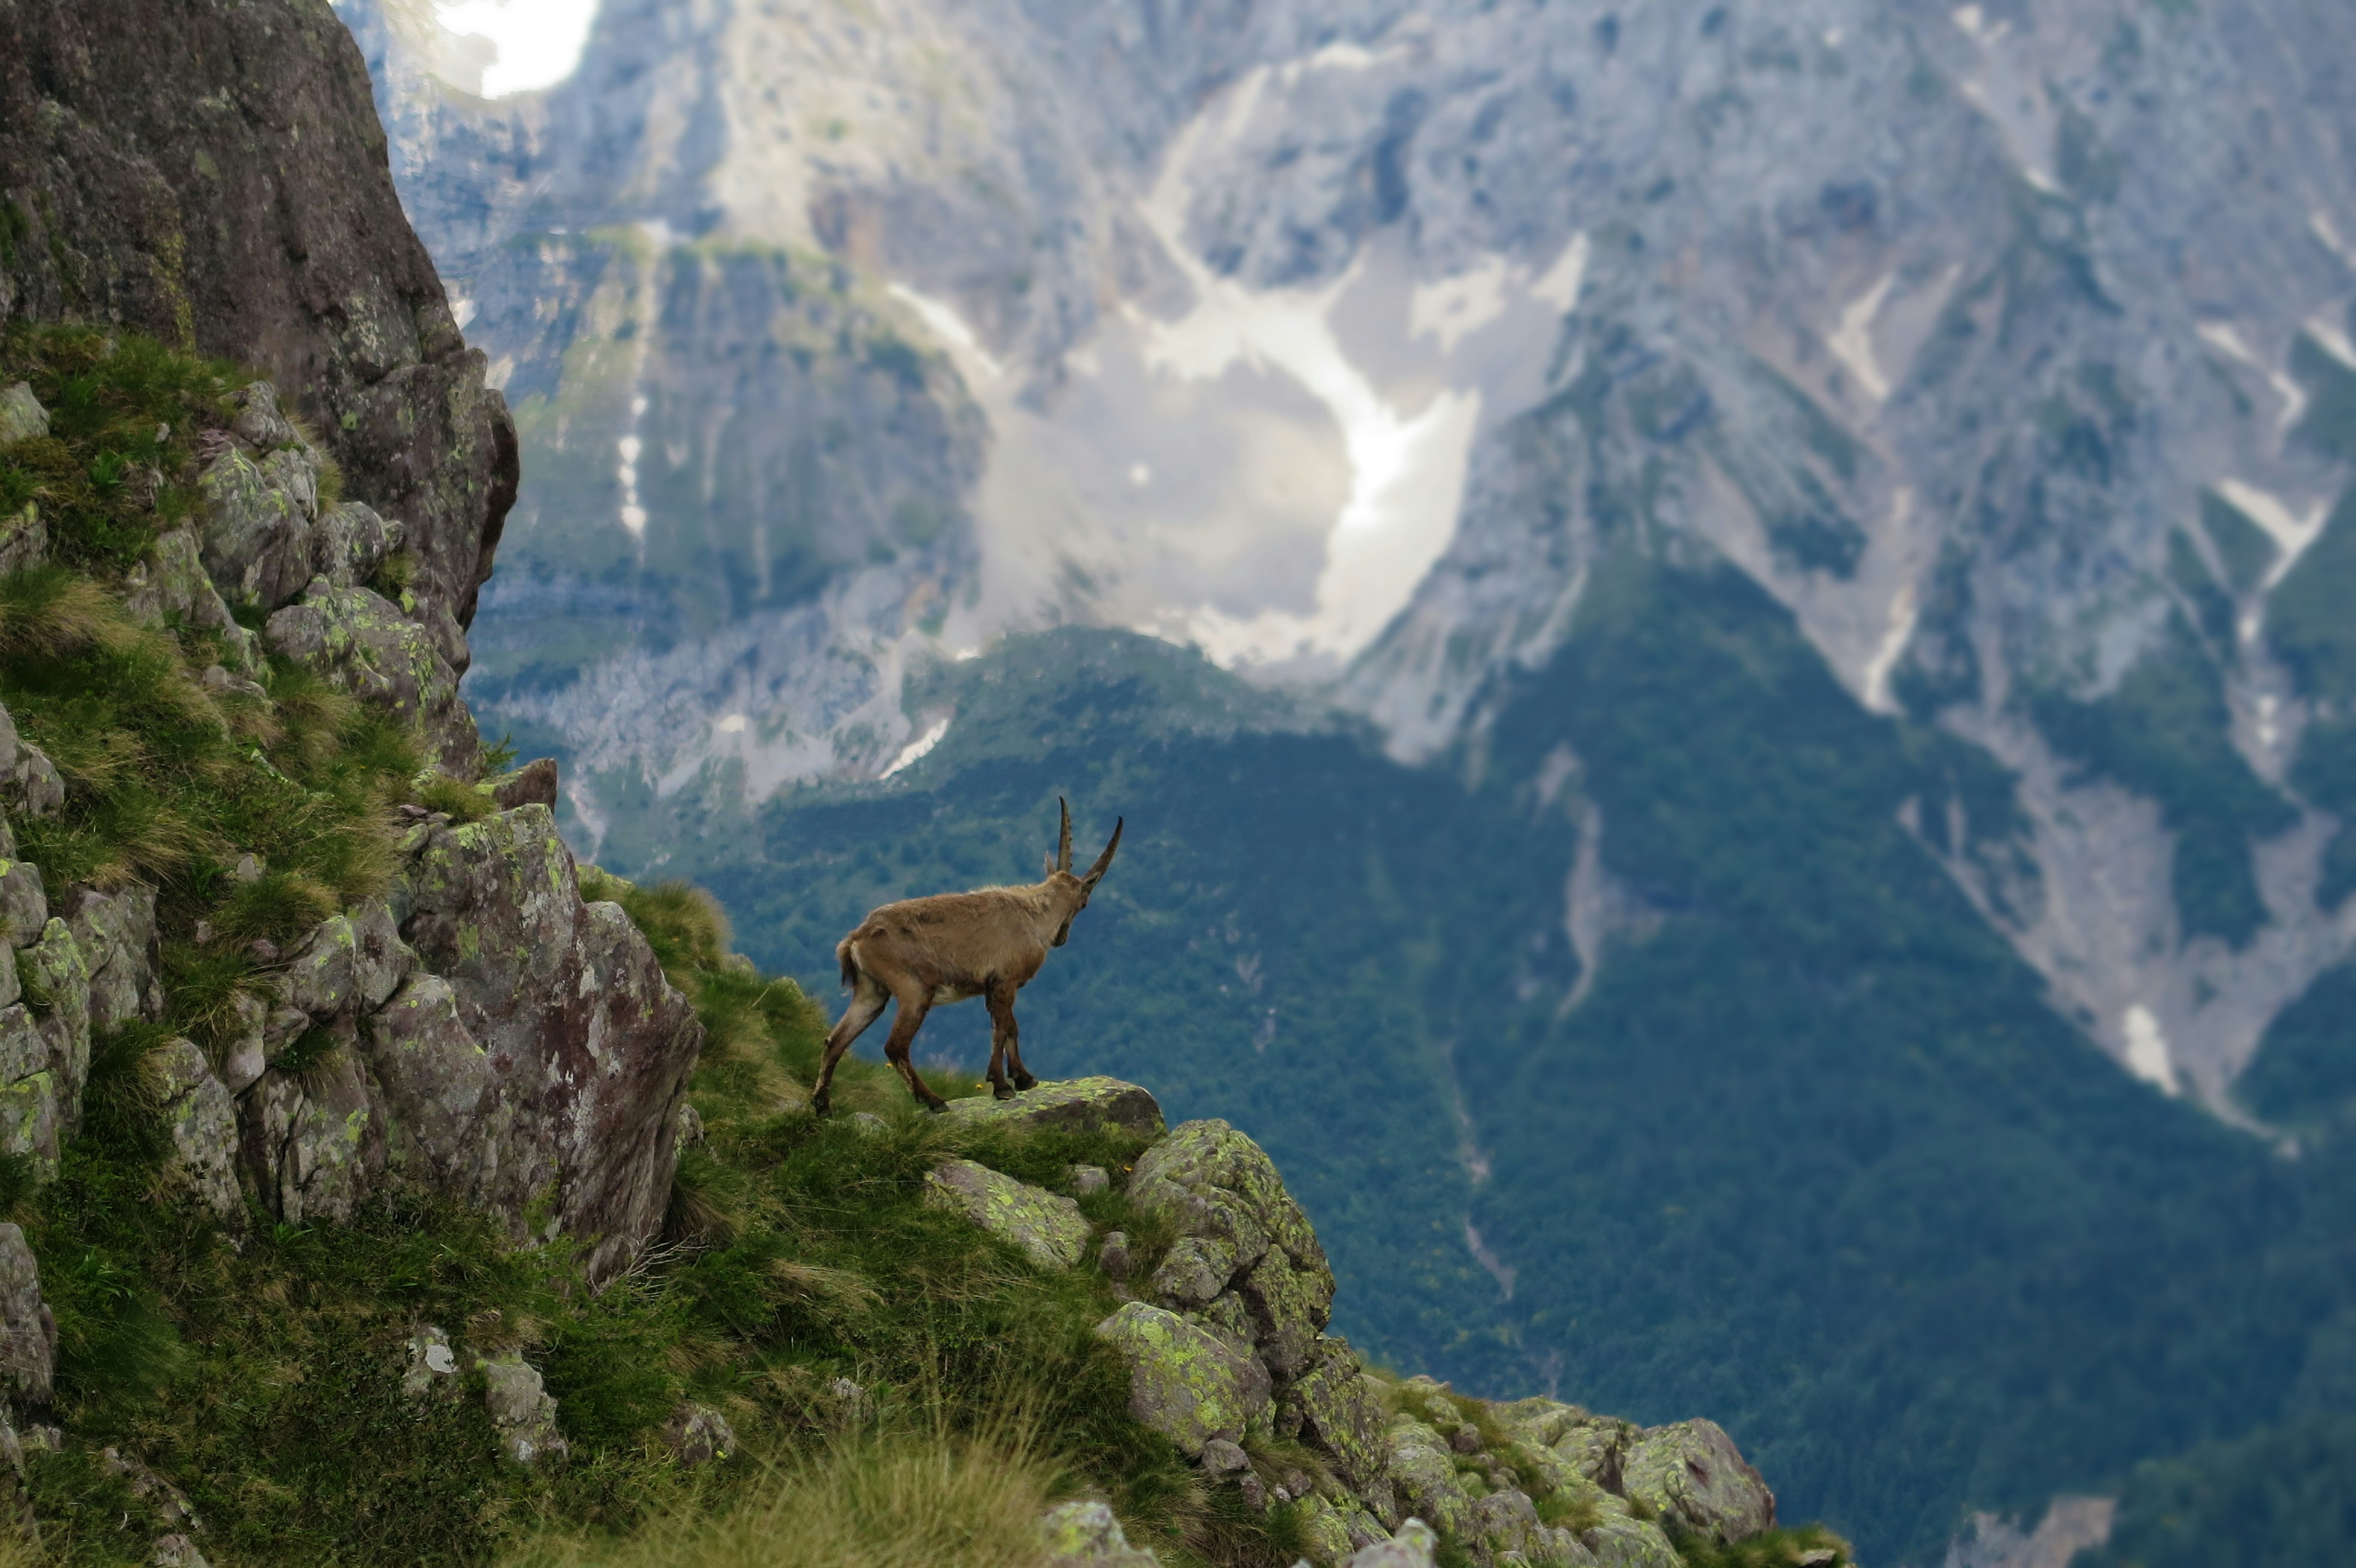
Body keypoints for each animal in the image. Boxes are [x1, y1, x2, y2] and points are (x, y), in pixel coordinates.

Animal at [810, 799, 1124, 1115]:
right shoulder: (1004, 982)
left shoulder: (994, 987)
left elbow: (1010, 1027)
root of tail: (857, 937)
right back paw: (933, 1101)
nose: (1061, 939)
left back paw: (823, 1105)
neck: (1033, 915)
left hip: (871, 992)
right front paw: (1003, 1086)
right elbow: (1003, 1029)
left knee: (835, 1041)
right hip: (914, 991)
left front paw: (1024, 1079)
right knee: (895, 1046)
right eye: (1084, 903)